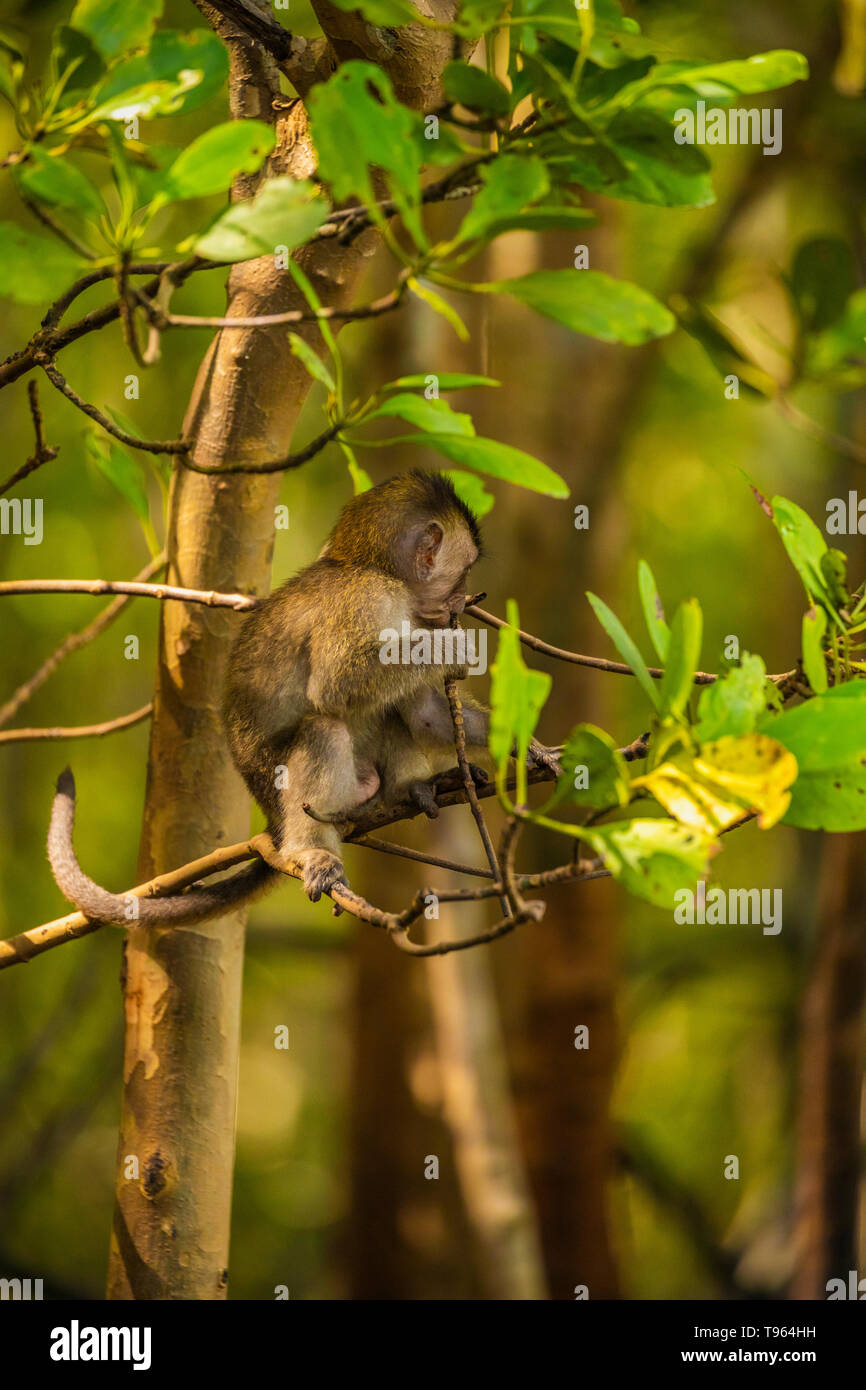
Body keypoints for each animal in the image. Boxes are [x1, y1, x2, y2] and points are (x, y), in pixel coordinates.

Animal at [47, 470, 560, 923]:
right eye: (463, 571)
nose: (462, 600)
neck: (366, 566)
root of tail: (270, 820)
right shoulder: (369, 597)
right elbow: (336, 684)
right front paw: (453, 647)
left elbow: (429, 716)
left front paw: (532, 749)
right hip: (283, 791)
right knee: (324, 727)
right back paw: (311, 848)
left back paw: (413, 788)